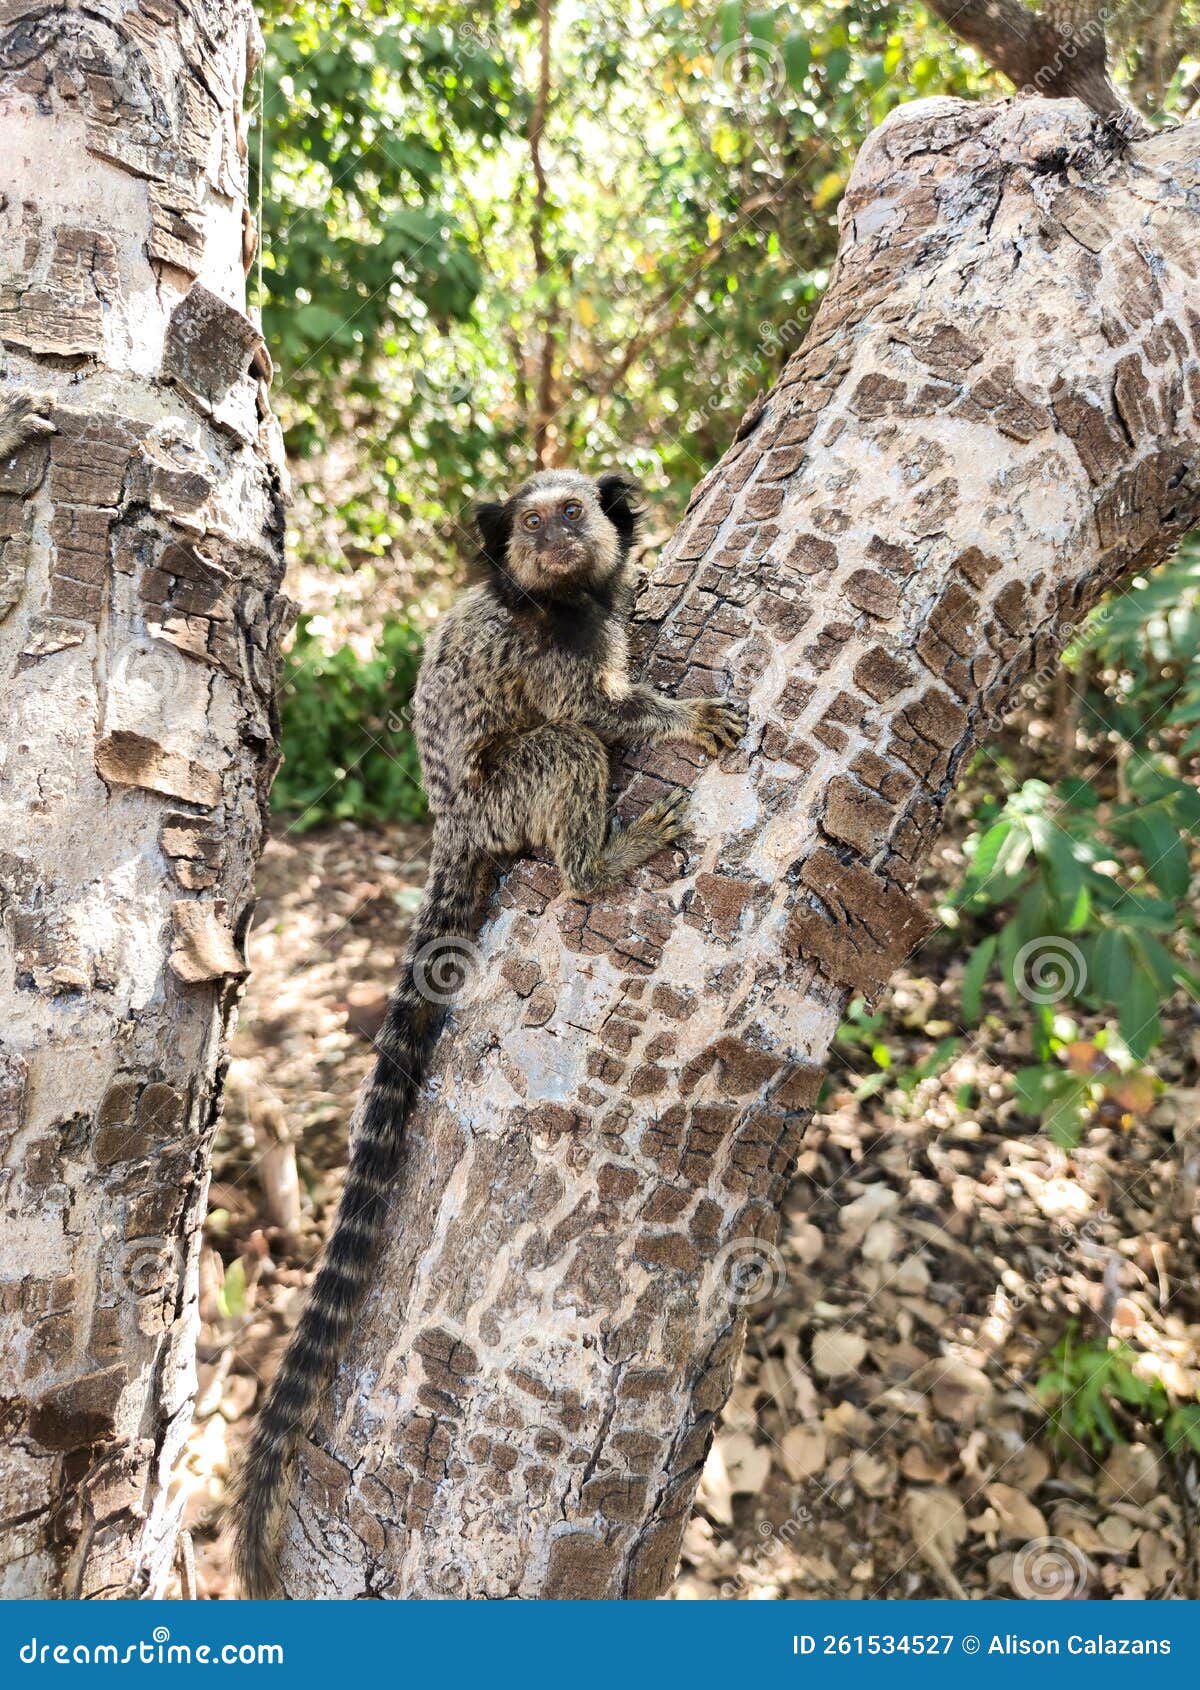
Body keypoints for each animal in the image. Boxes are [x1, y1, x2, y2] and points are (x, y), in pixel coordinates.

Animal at [232, 467, 745, 1597]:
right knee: (562, 749)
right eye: (531, 522)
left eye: (573, 514)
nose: (552, 538)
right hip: (506, 793)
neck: (561, 602)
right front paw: (685, 712)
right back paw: (600, 861)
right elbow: (598, 712)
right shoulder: (548, 659)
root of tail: (456, 824)